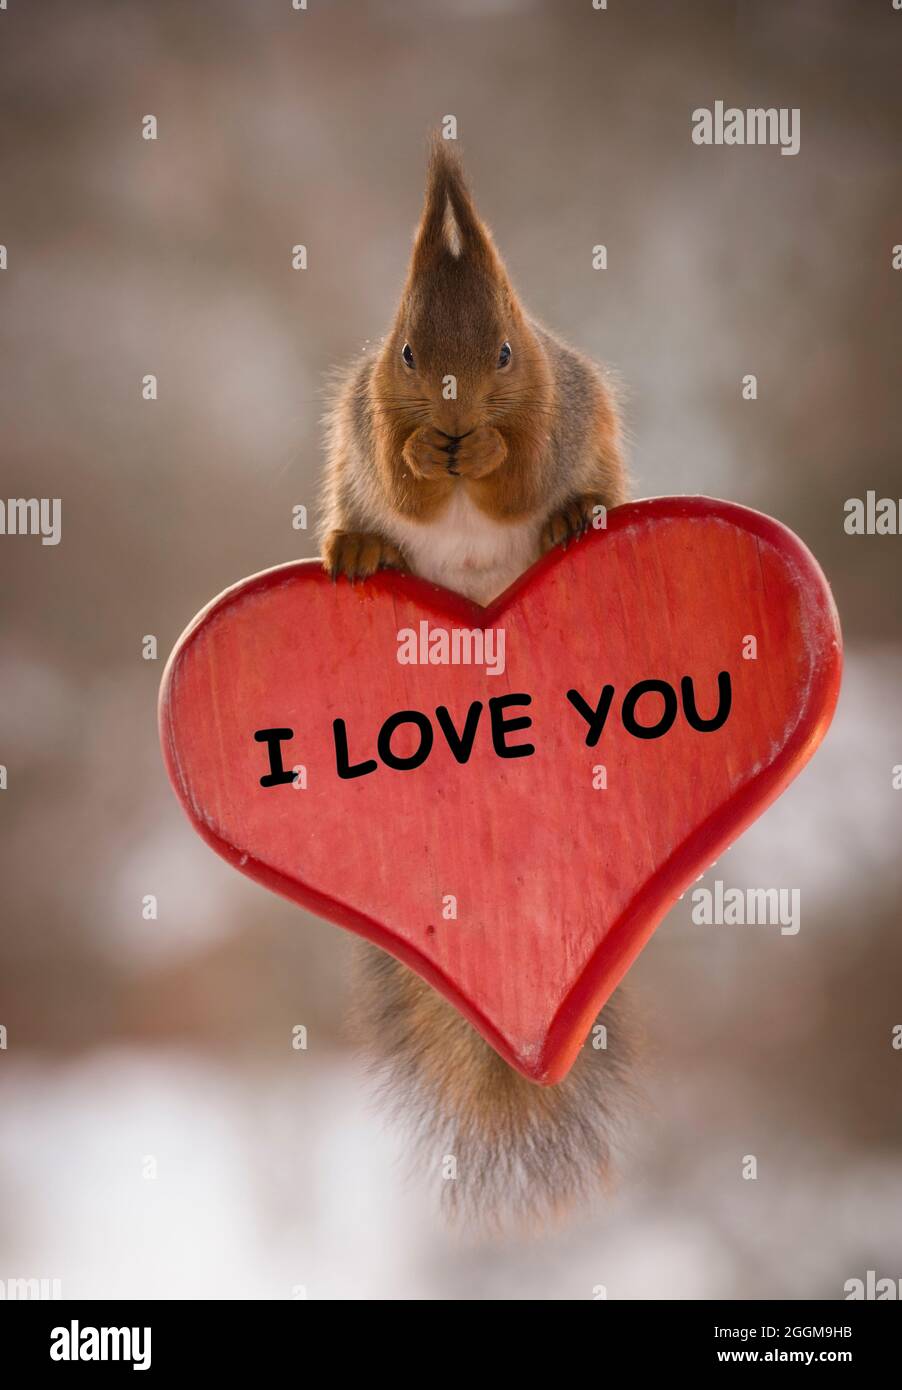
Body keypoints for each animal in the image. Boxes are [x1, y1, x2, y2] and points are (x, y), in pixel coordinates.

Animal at [319, 136, 638, 1226]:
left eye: (503, 352)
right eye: (410, 352)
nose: (455, 419)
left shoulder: (555, 405)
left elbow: (518, 465)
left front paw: (489, 452)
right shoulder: (370, 408)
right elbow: (400, 469)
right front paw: (427, 450)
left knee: (568, 496)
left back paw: (571, 518)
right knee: (364, 510)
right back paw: (355, 548)